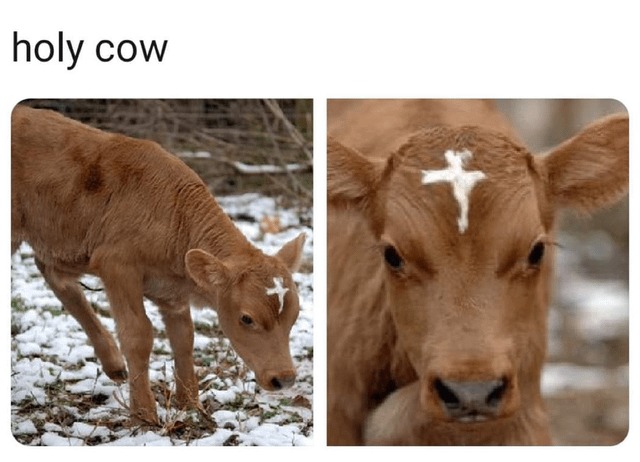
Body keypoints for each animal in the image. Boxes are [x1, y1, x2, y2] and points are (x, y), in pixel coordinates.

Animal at [11, 105, 307, 425]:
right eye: (247, 318)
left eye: (295, 315)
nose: (284, 379)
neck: (173, 215)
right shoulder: (118, 265)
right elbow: (138, 335)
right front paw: (143, 413)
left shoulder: (172, 292)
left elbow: (184, 337)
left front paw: (191, 404)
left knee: (54, 275)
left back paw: (113, 363)